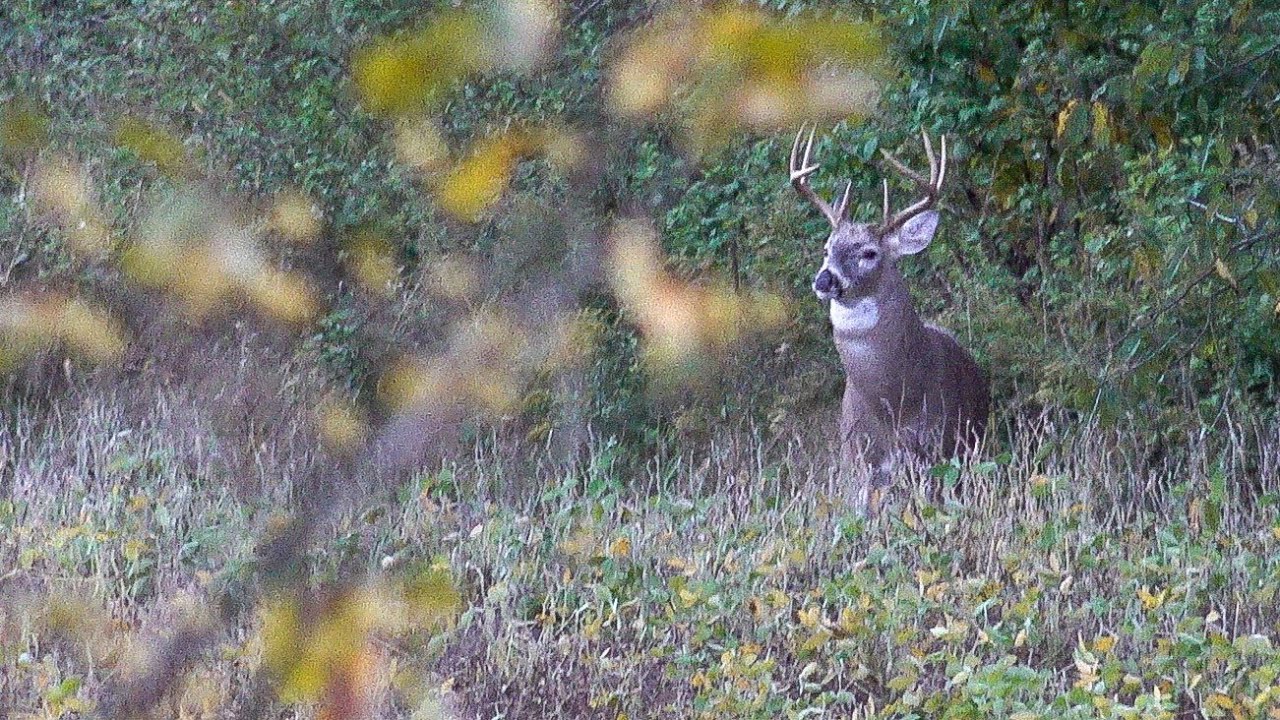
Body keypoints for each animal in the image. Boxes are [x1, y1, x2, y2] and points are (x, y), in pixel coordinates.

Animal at [788, 126, 990, 516]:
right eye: (827, 248)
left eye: (869, 253)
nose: (824, 279)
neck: (895, 403)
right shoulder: (858, 458)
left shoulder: (937, 449)